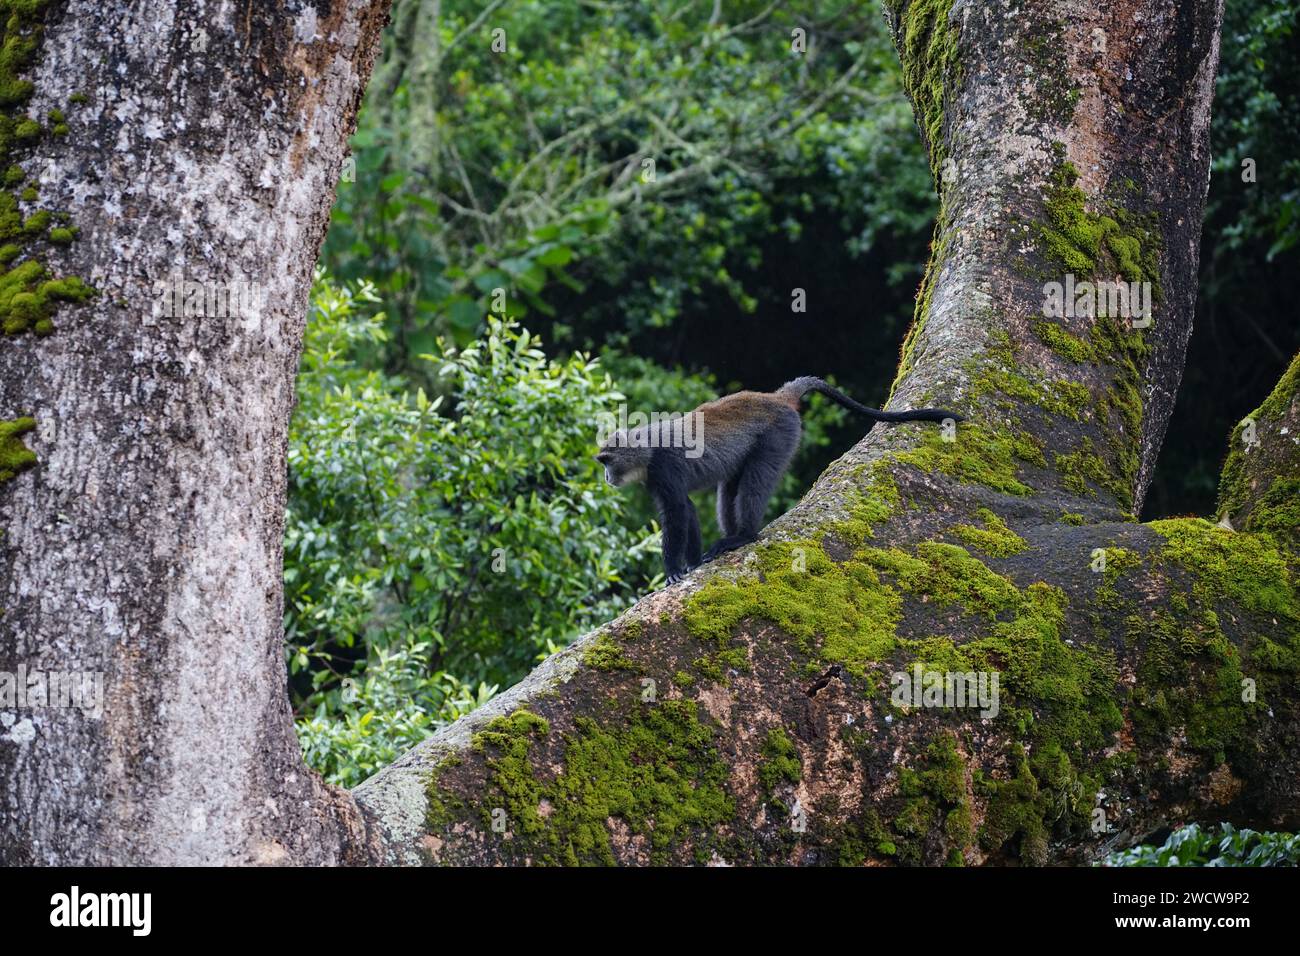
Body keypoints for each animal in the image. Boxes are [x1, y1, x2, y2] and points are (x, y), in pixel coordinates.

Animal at [595, 376, 961, 584]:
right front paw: (694, 563)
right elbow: (688, 510)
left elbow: (677, 515)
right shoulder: (662, 480)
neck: (646, 447)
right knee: (729, 489)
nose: (607, 476)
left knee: (754, 483)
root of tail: (777, 398)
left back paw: (743, 536)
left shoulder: (665, 469)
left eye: (606, 460)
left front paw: (672, 571)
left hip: (779, 437)